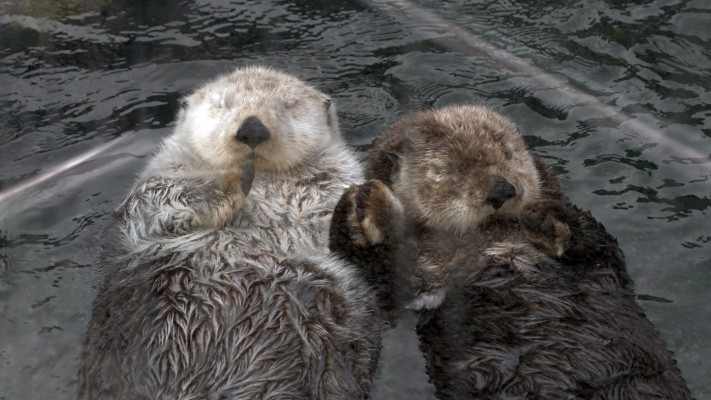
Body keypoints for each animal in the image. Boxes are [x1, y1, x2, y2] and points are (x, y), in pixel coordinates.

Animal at [78, 66, 386, 399]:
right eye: (221, 104)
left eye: (289, 104)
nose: (252, 128)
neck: (267, 181)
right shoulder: (153, 190)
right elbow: (156, 196)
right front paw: (234, 178)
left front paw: (359, 209)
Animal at [334, 105, 692, 399]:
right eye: (446, 168)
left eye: (508, 153)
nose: (501, 189)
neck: (489, 241)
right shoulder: (421, 276)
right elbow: (384, 289)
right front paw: (360, 211)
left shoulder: (600, 248)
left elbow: (597, 242)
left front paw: (545, 219)